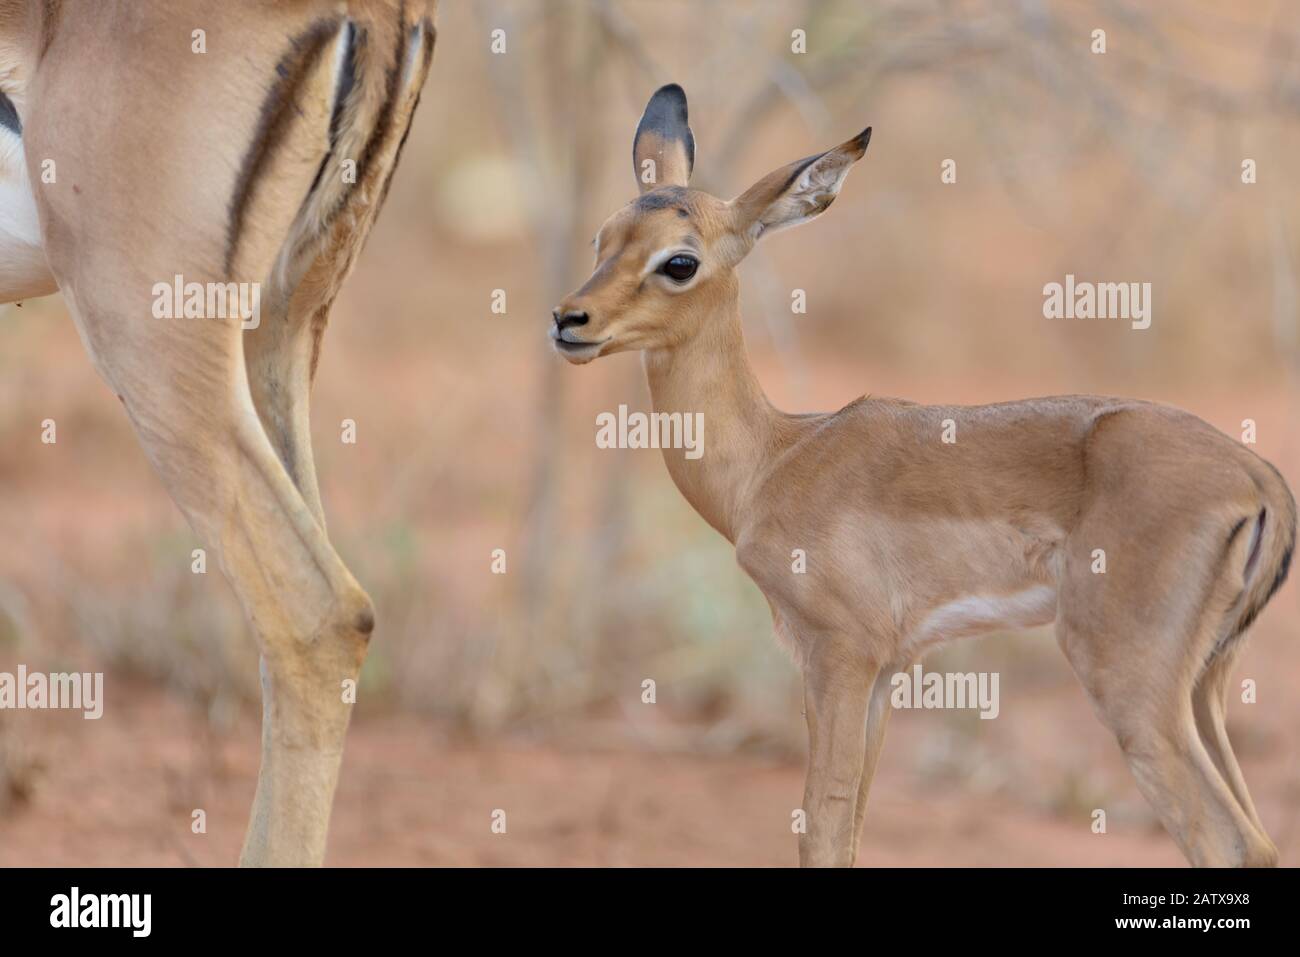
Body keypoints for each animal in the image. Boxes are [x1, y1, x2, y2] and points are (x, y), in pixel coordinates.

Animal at [552, 84, 1296, 867]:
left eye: (679, 262)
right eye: (604, 237)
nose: (570, 320)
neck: (775, 457)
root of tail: (1258, 478)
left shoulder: (839, 654)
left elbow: (820, 829)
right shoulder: (888, 671)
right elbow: (849, 831)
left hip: (1129, 684)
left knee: (1231, 840)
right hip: (1205, 684)